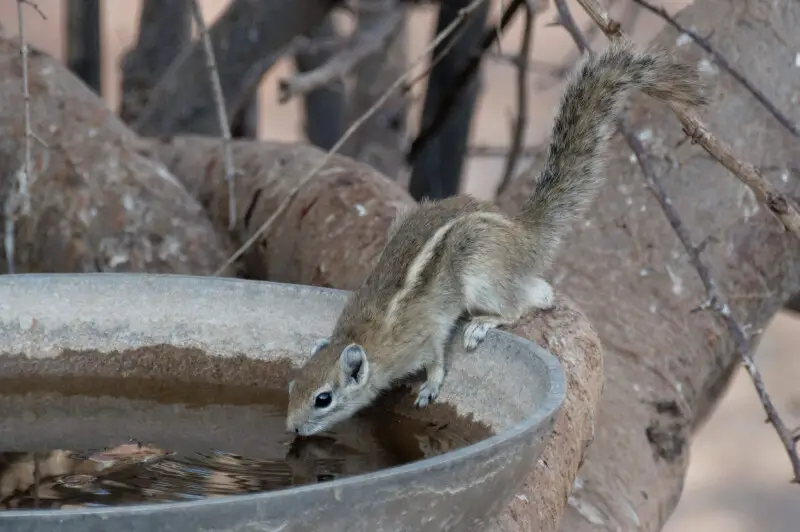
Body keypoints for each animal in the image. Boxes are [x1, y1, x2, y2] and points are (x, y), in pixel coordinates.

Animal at [285, 39, 709, 436]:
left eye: (323, 398)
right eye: (292, 385)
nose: (291, 427)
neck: (363, 337)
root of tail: (523, 233)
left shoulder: (425, 335)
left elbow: (437, 359)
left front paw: (430, 386)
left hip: (479, 268)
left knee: (518, 306)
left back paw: (484, 323)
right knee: (541, 294)